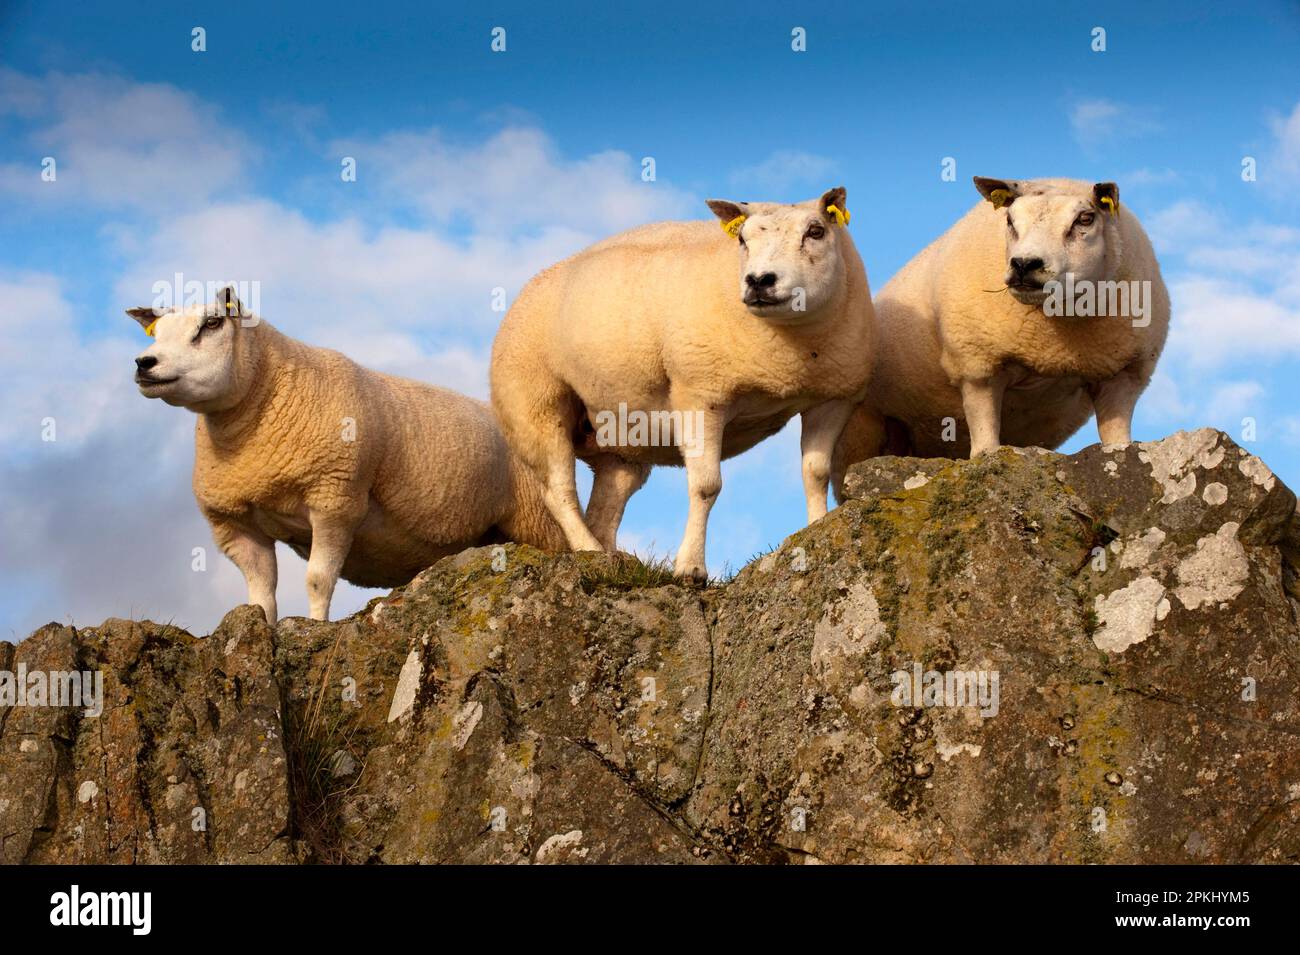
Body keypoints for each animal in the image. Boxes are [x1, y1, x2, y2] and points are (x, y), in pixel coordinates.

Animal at [128, 287, 565, 623]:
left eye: (211, 324)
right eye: (156, 332)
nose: (144, 363)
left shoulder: (335, 500)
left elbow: (317, 580)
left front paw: (315, 625)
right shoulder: (235, 524)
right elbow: (261, 592)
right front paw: (262, 629)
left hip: (537, 517)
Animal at [490, 187, 876, 581]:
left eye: (816, 232)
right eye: (741, 239)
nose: (759, 281)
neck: (790, 355)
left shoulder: (834, 398)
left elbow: (816, 474)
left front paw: (817, 528)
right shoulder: (701, 395)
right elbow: (706, 487)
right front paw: (690, 568)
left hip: (619, 438)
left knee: (607, 501)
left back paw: (610, 558)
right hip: (534, 404)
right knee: (560, 490)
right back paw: (588, 550)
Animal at [833, 176, 1169, 487]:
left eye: (1085, 219)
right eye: (1009, 220)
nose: (1024, 264)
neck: (1054, 344)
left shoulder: (1125, 374)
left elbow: (1117, 440)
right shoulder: (977, 364)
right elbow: (985, 440)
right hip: (859, 432)